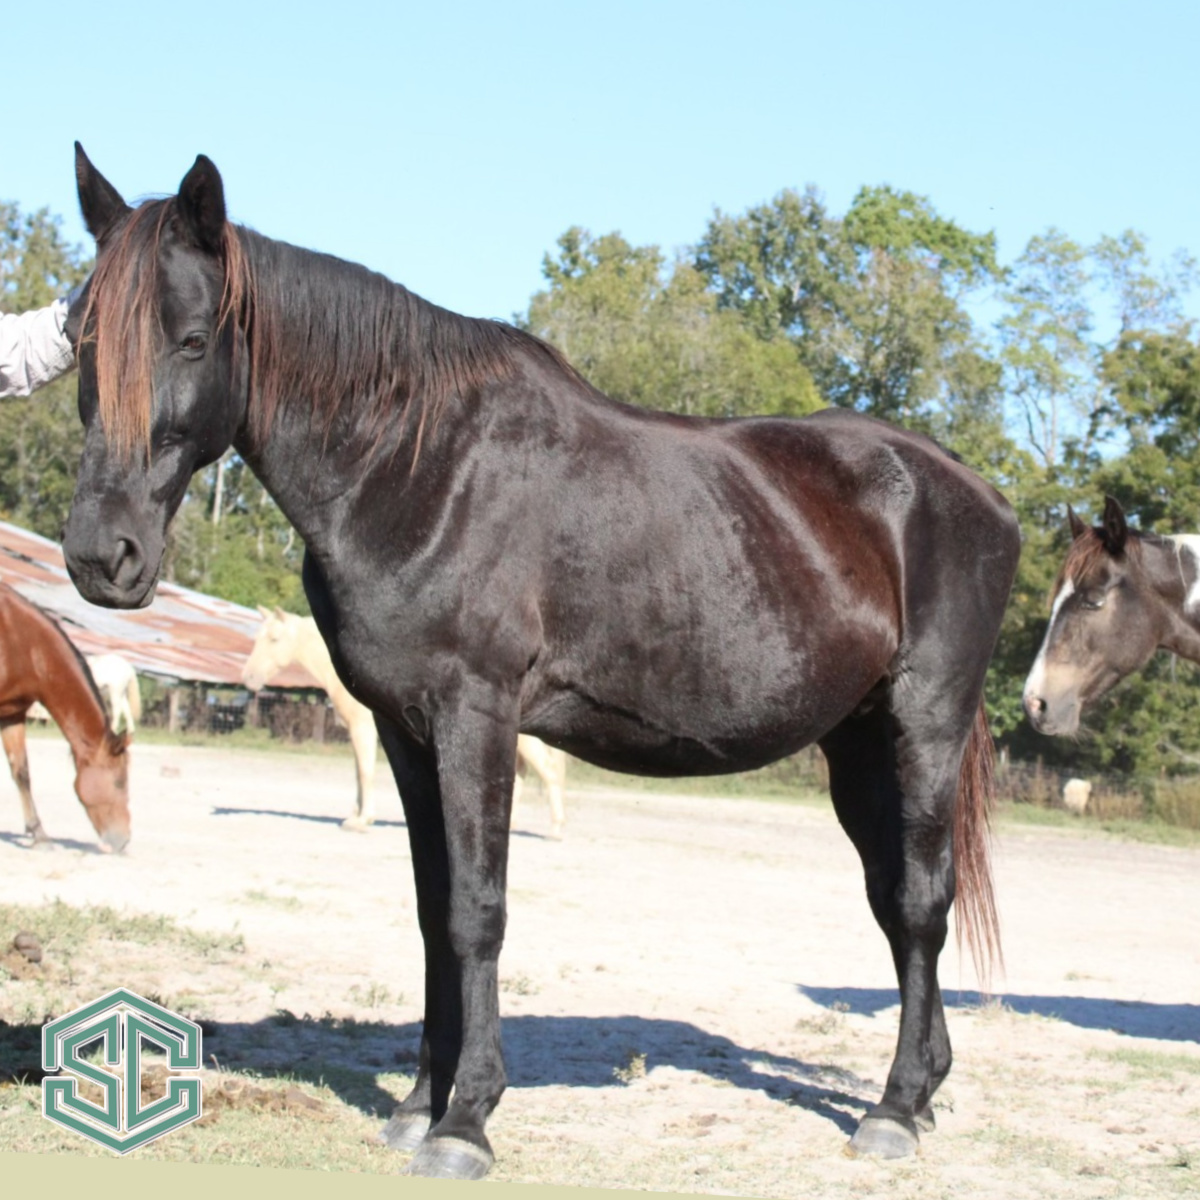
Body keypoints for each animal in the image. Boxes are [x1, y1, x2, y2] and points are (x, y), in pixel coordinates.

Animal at [242, 607, 569, 836]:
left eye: (274, 639)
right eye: (257, 638)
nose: (248, 678)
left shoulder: (362, 728)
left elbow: (365, 772)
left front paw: (362, 820)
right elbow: (358, 772)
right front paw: (355, 815)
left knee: (550, 775)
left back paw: (555, 830)